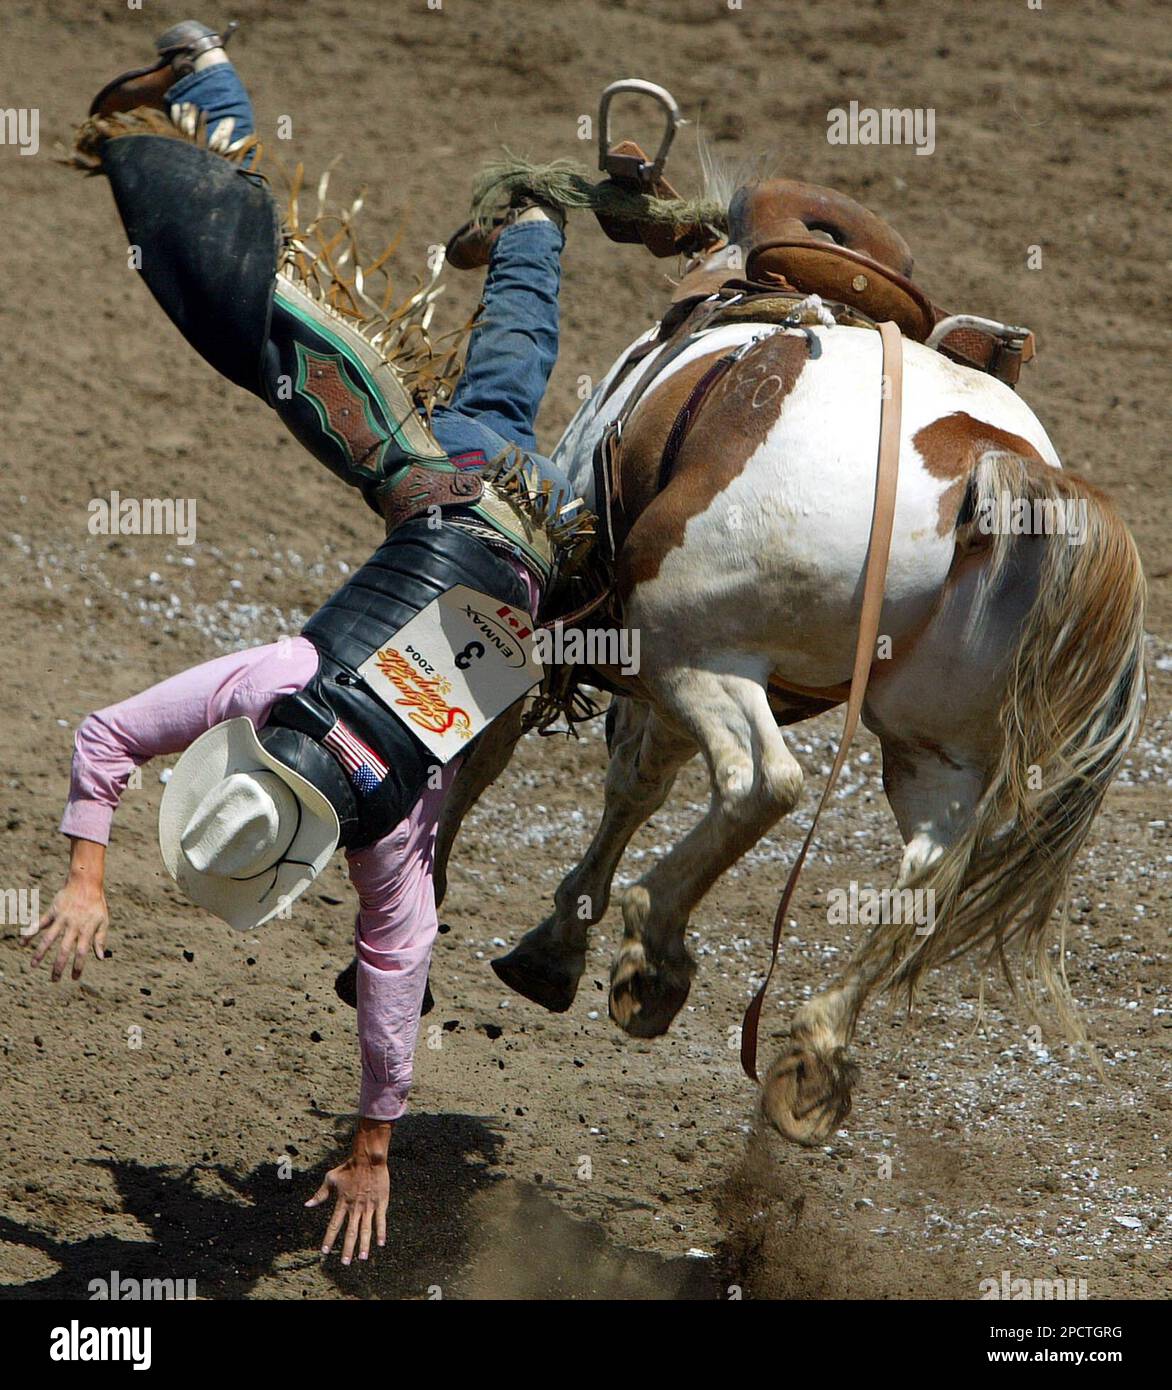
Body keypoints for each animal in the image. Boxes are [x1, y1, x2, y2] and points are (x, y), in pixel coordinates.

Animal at [433, 218, 1146, 1146]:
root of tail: (985, 466)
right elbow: (637, 784)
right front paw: (555, 944)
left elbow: (502, 757)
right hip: (929, 748)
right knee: (928, 871)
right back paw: (812, 1050)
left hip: (694, 649)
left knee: (764, 782)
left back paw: (656, 951)